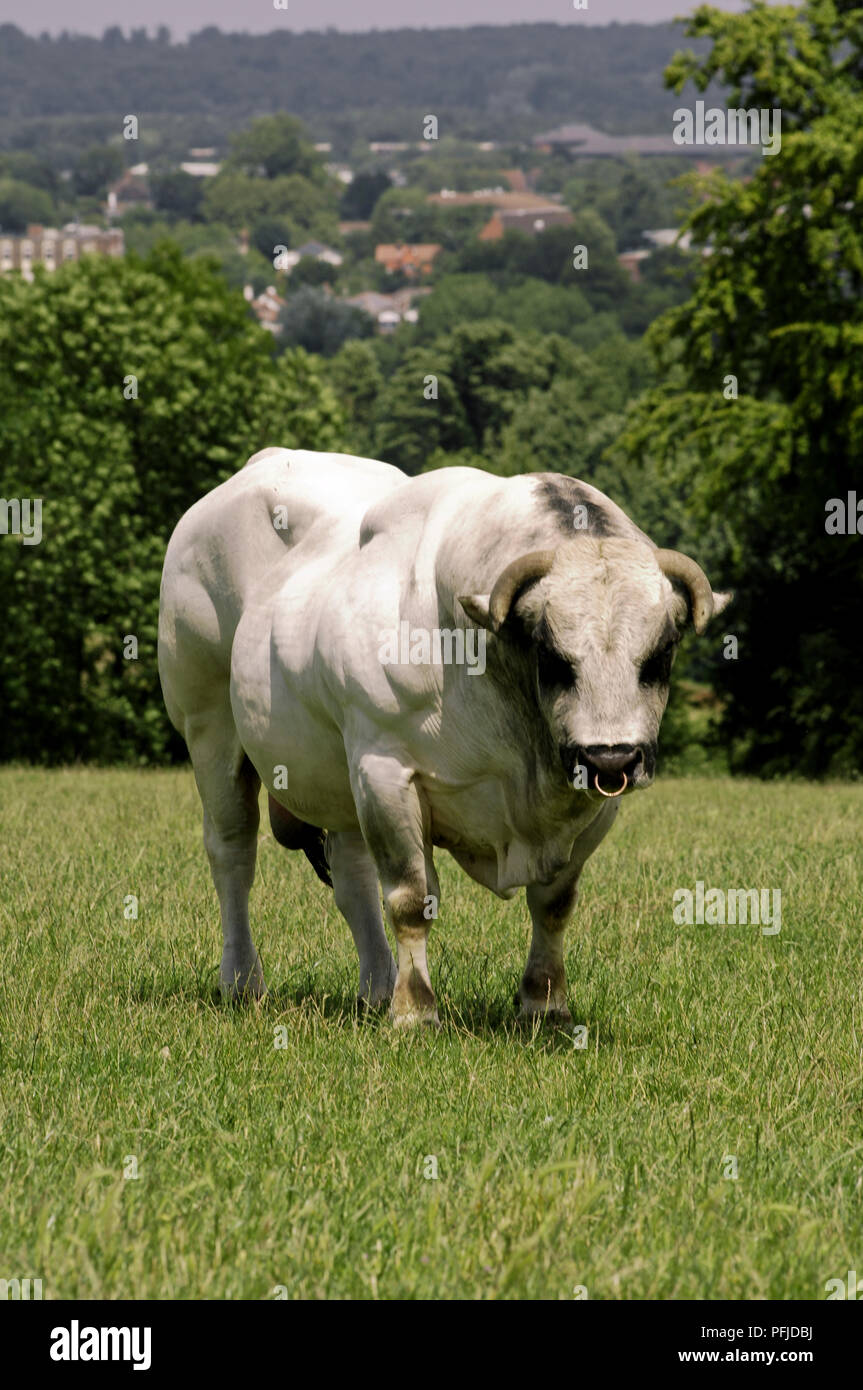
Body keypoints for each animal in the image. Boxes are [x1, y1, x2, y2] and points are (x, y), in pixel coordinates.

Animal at [158, 448, 730, 1027]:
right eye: (550, 654)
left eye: (660, 654)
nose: (610, 758)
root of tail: (269, 460)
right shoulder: (387, 772)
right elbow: (412, 899)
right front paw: (415, 1011)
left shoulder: (595, 808)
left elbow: (553, 904)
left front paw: (545, 1004)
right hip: (211, 731)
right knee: (233, 854)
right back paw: (243, 982)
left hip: (339, 771)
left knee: (352, 876)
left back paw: (375, 987)